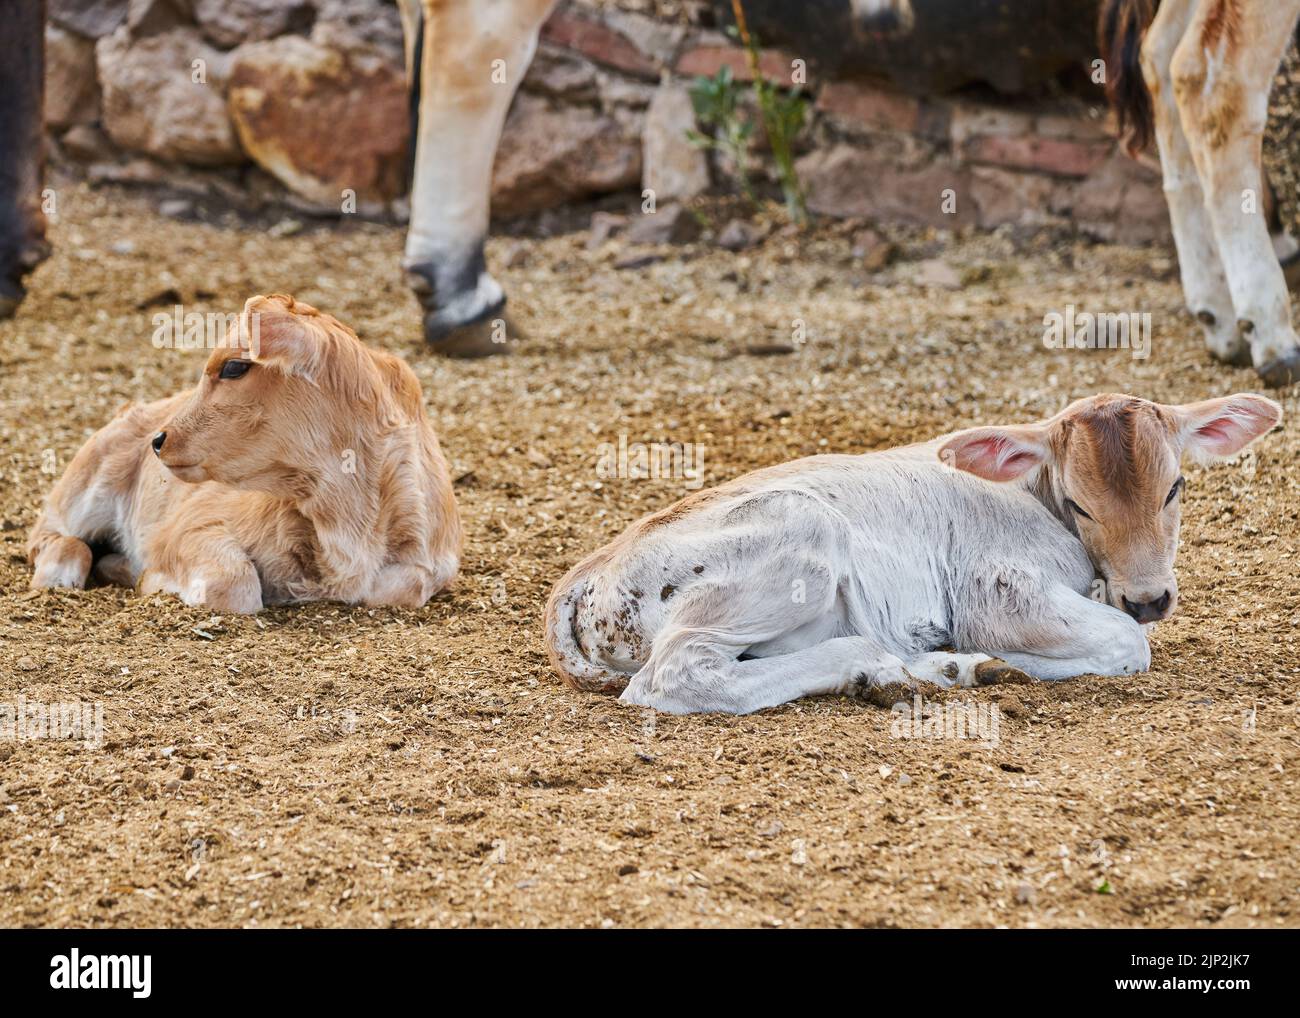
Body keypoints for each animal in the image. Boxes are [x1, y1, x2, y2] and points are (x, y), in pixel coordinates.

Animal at [27, 294, 462, 612]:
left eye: (234, 366)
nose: (159, 439)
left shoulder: (434, 561)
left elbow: (402, 587)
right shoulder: (190, 525)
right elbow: (234, 585)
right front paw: (151, 579)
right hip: (85, 485)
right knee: (52, 537)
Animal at [544, 392, 1281, 714]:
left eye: (1175, 487)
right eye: (1080, 504)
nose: (1149, 596)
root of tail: (589, 570)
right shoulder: (997, 590)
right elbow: (1128, 643)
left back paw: (946, 669)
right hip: (797, 540)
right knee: (675, 676)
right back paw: (880, 667)